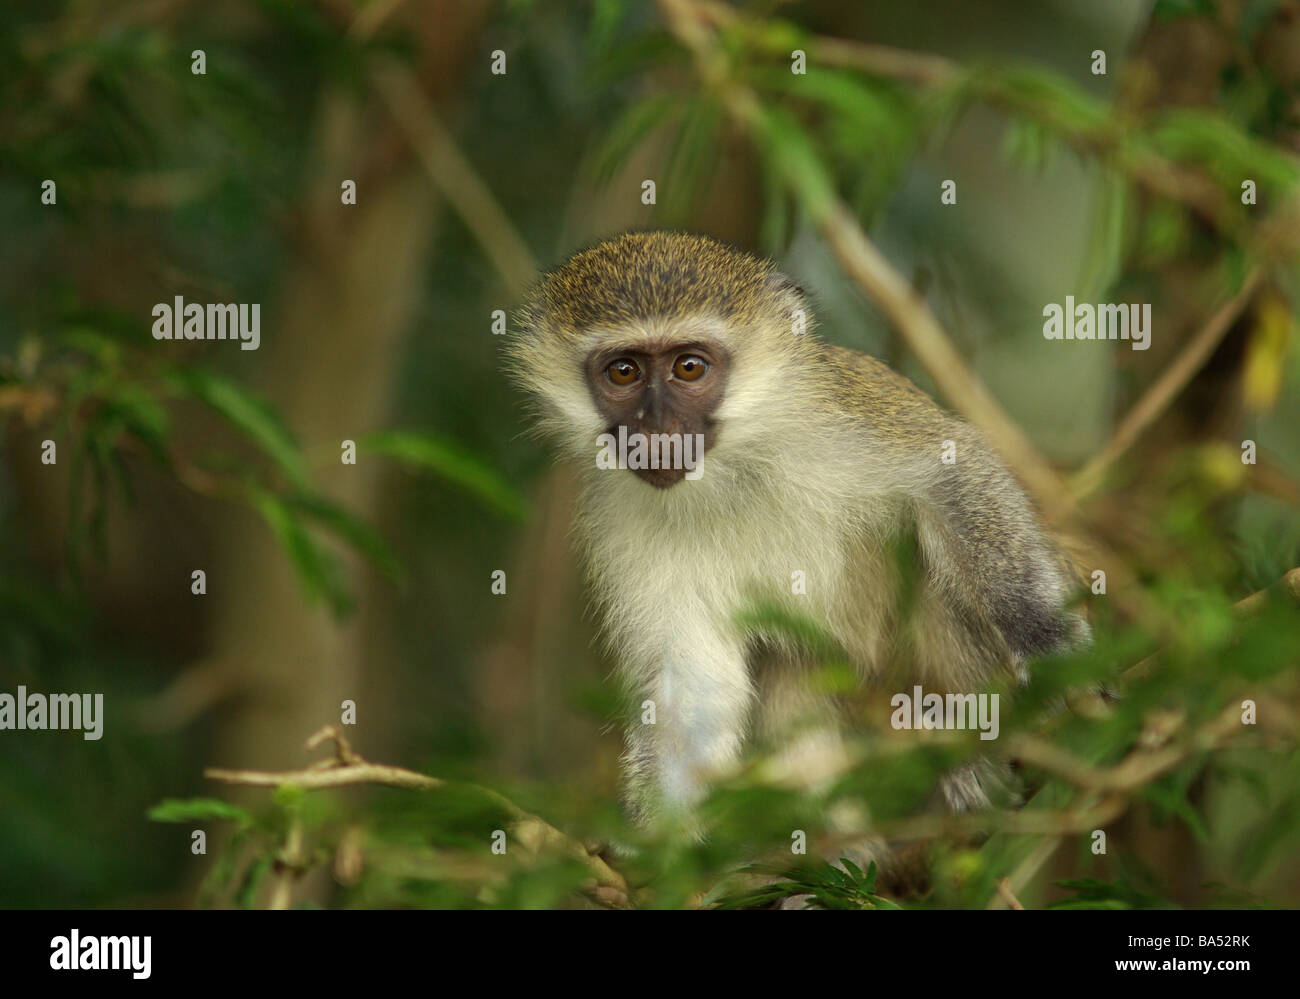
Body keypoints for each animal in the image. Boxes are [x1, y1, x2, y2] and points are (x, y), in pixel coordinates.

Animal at [508, 230, 1088, 832]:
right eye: (623, 372)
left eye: (689, 367)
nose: (656, 427)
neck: (728, 475)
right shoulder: (618, 514)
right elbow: (690, 688)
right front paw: (668, 851)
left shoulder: (841, 420)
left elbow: (953, 470)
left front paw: (1052, 650)